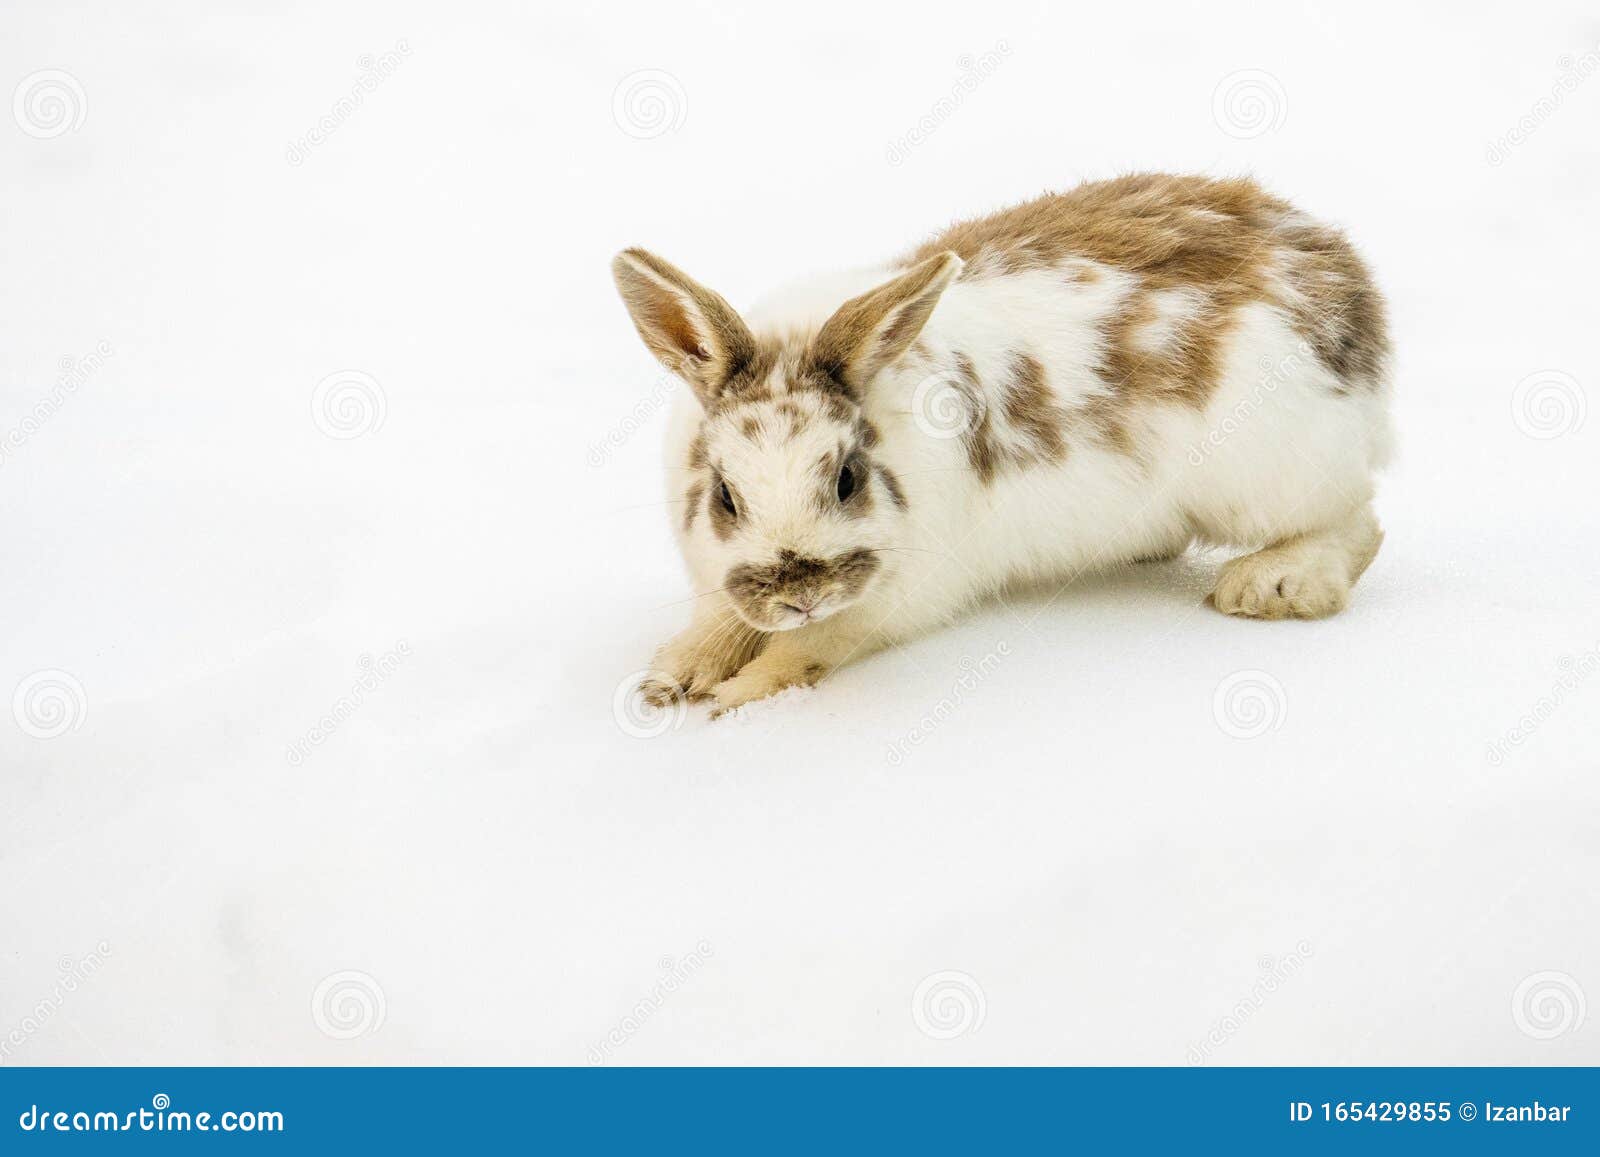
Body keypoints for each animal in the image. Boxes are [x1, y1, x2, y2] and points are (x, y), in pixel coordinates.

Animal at [612, 173, 1391, 713]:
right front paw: (672, 677)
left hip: (1273, 477)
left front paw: (739, 693)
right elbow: (722, 621)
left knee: (1359, 522)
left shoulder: (901, 598)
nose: (801, 592)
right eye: (725, 496)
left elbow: (814, 646)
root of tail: (1351, 296)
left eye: (846, 478)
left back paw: (1271, 585)